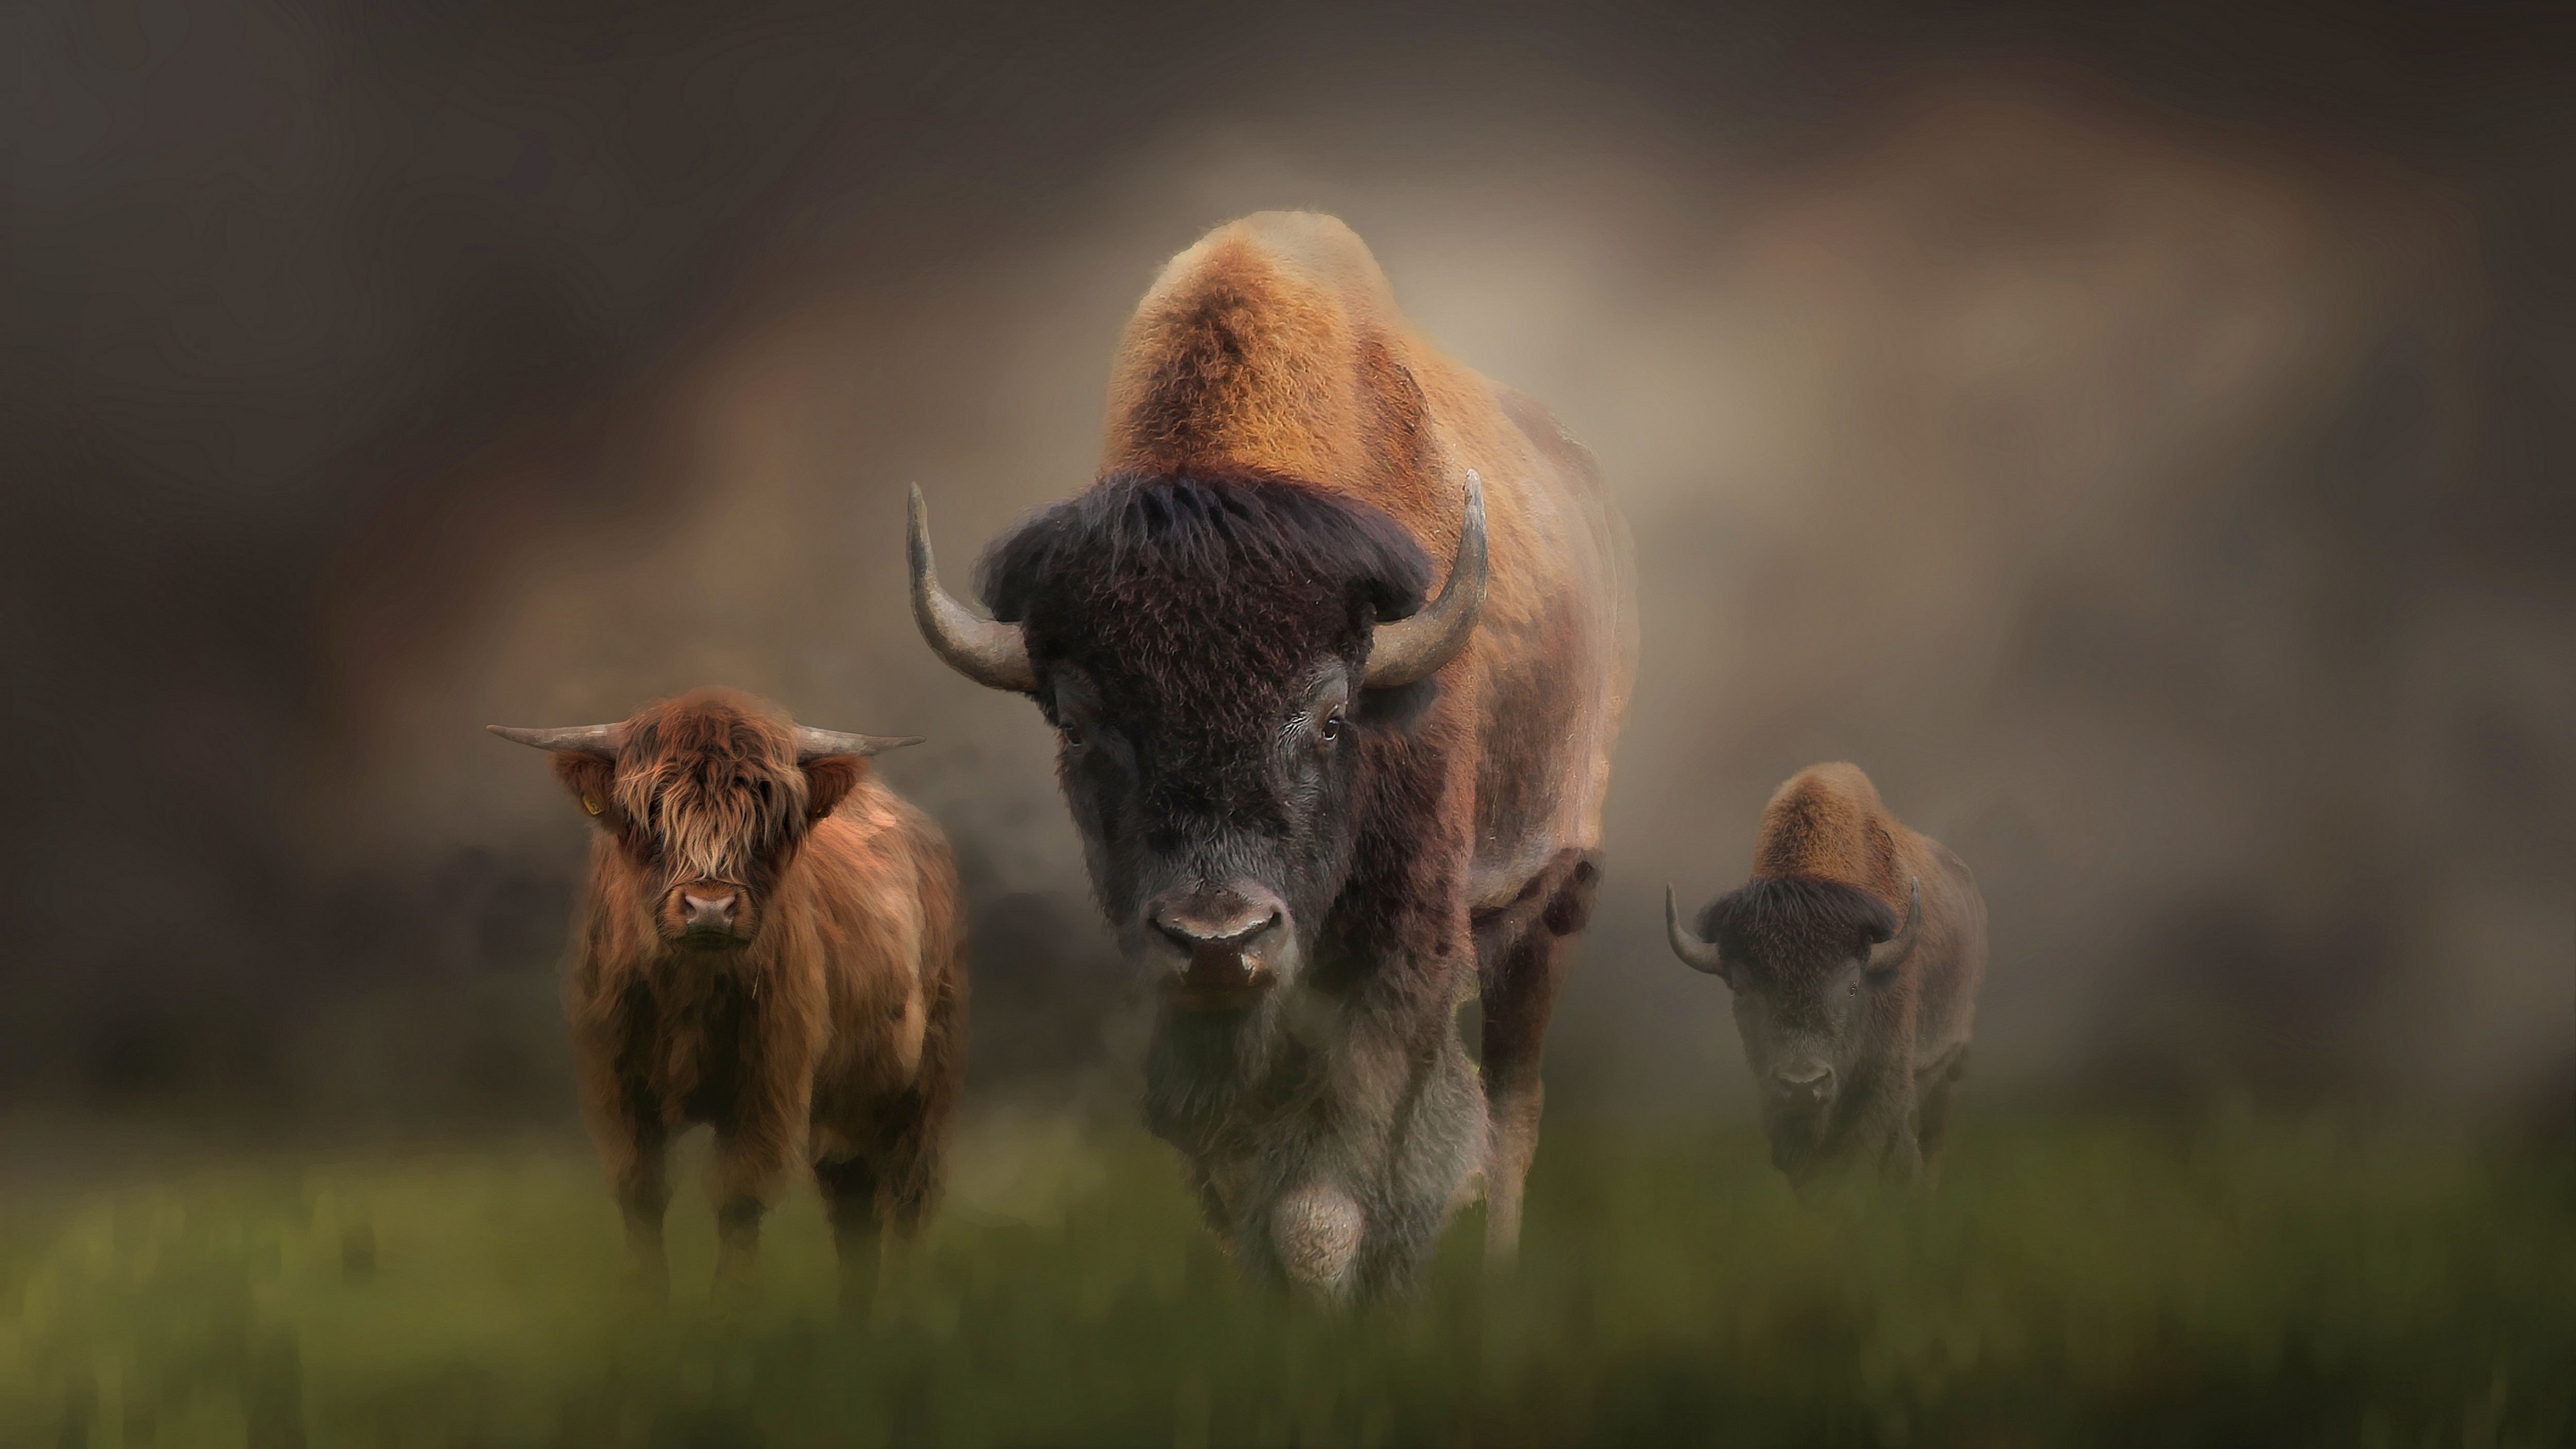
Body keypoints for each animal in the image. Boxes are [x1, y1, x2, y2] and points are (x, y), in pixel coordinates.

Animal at [490, 688, 965, 1307]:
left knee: (909, 1193)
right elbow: (639, 1188)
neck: (689, 990)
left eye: (767, 817)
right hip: (848, 1105)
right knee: (852, 1199)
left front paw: (731, 1307)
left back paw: (904, 1306)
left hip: (924, 1077)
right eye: (652, 812)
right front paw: (644, 1302)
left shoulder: (771, 1080)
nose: (709, 909)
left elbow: (739, 1194)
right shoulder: (614, 1079)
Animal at [908, 211, 1635, 1299]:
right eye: (1076, 726)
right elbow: (1241, 1175)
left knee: (1513, 1105)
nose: (1221, 937)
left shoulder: (1402, 944)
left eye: (1332, 717)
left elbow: (1334, 1196)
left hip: (1552, 891)